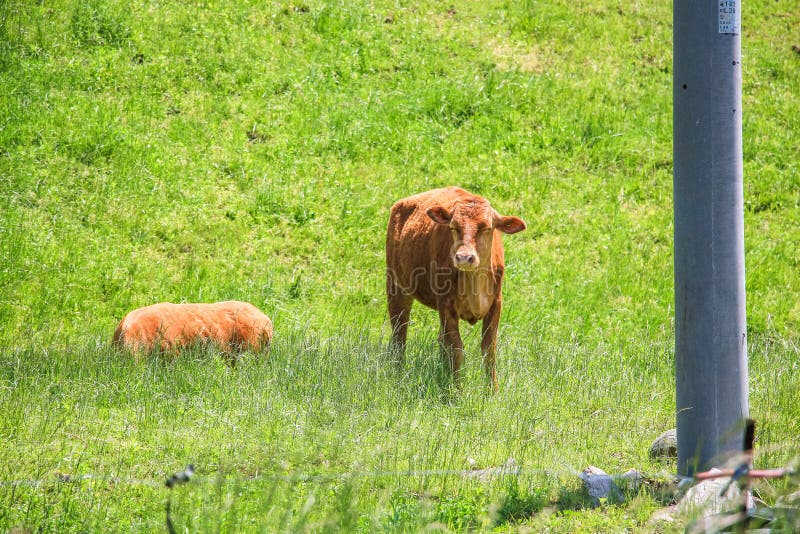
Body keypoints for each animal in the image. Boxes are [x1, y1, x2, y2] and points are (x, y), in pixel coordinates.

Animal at [386, 187, 526, 392]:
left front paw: (492, 391)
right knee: (399, 336)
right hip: (396, 286)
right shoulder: (446, 305)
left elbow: (488, 349)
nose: (463, 257)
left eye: (487, 227)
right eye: (453, 227)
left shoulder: (496, 303)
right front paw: (457, 392)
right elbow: (457, 349)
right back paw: (398, 374)